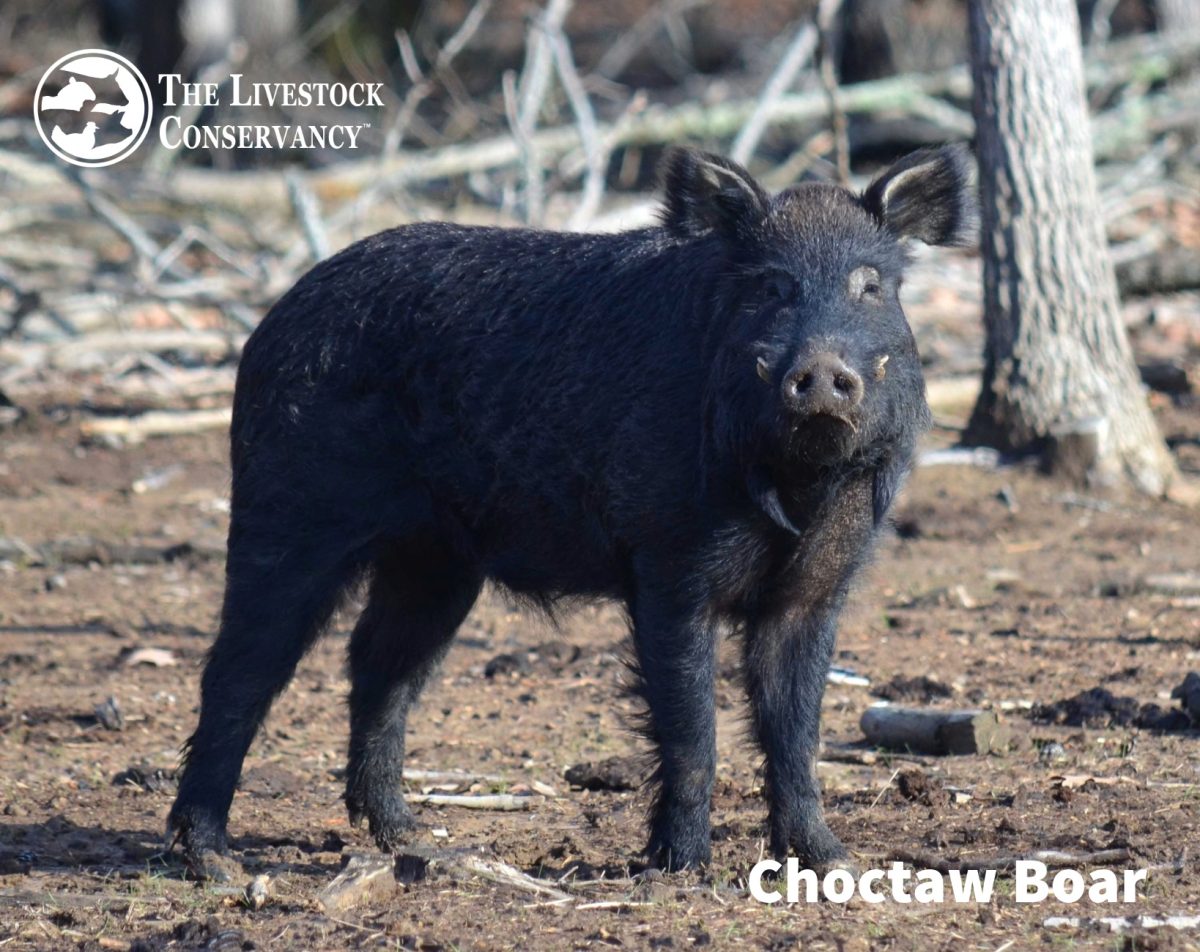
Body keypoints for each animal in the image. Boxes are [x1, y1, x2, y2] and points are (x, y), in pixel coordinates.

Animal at [167, 144, 975, 880]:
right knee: (239, 670)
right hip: (287, 511)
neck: (796, 485)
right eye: (771, 286)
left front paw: (832, 864)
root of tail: (269, 322)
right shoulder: (668, 564)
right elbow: (692, 728)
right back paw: (212, 861)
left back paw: (412, 841)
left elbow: (796, 729)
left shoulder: (816, 585)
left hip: (435, 561)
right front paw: (682, 871)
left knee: (377, 666)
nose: (822, 369)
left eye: (871, 284)